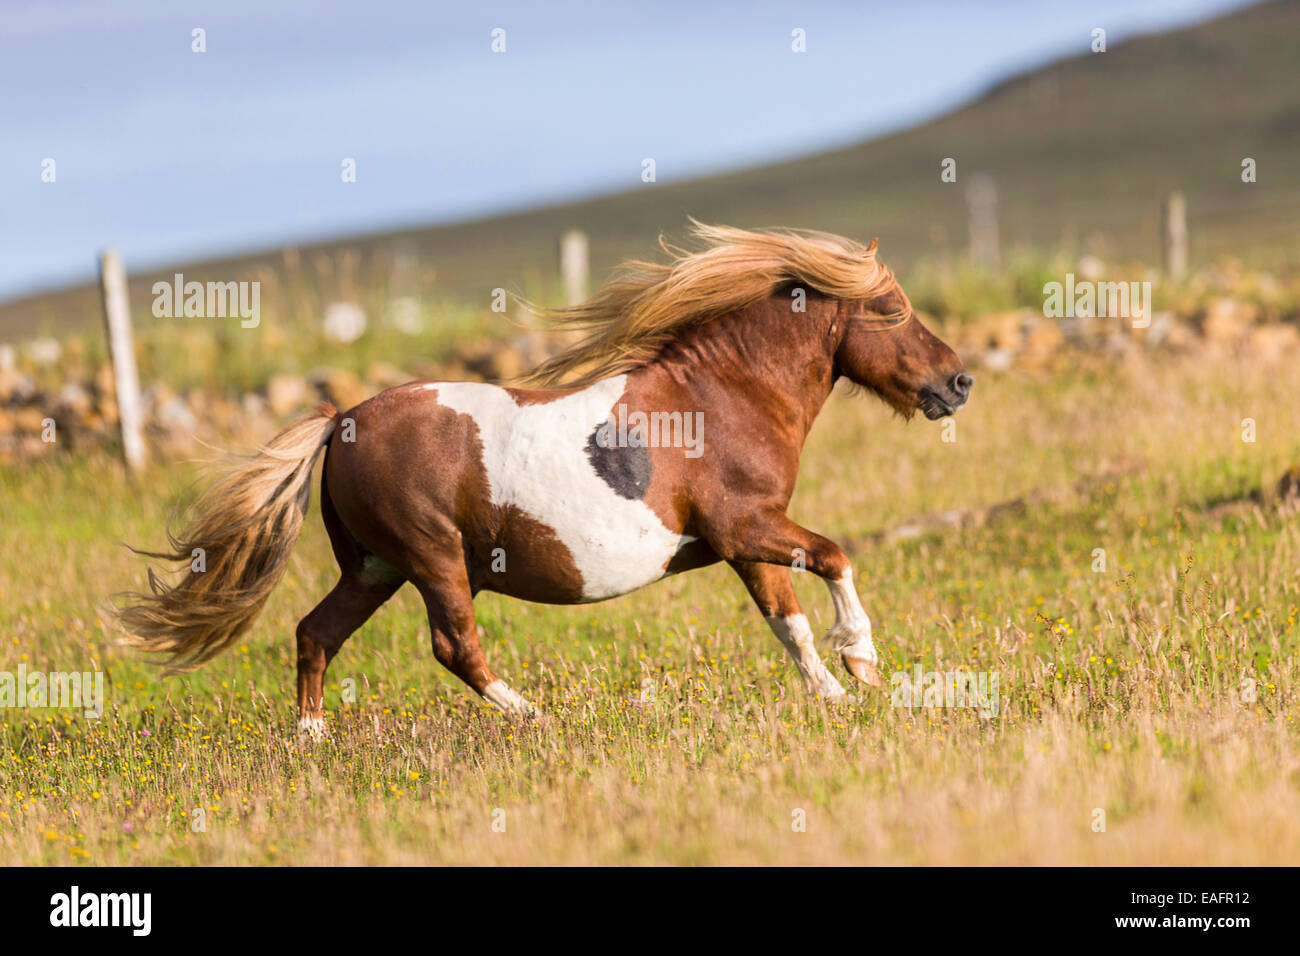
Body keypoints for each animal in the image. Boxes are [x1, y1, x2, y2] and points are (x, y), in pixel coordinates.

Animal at [118, 222, 972, 735]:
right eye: (892, 309)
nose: (958, 383)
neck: (722, 396)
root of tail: (342, 419)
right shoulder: (744, 527)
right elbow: (833, 558)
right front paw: (863, 662)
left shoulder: (742, 543)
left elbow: (786, 620)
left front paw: (836, 692)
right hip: (432, 558)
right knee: (453, 645)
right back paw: (532, 718)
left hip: (374, 567)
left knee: (314, 632)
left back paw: (313, 741)